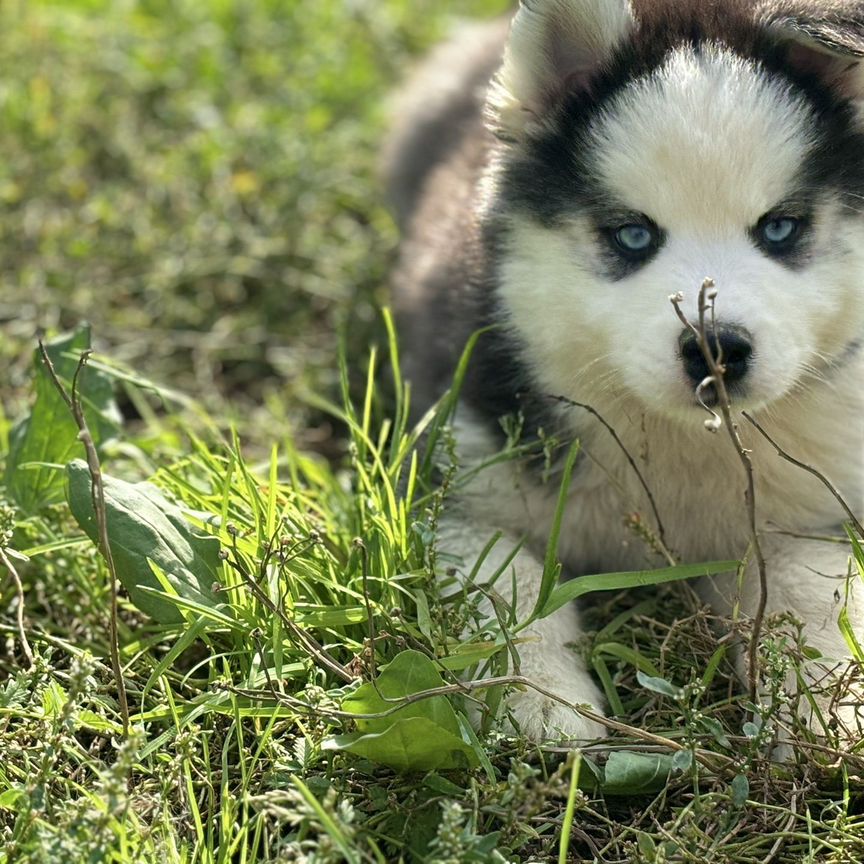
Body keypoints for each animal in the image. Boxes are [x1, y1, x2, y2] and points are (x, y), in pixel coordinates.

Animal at [388, 1, 864, 744]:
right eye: (633, 236)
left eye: (781, 229)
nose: (715, 350)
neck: (679, 442)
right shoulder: (460, 477)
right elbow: (502, 583)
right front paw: (538, 701)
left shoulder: (820, 502)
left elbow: (811, 593)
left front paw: (825, 715)